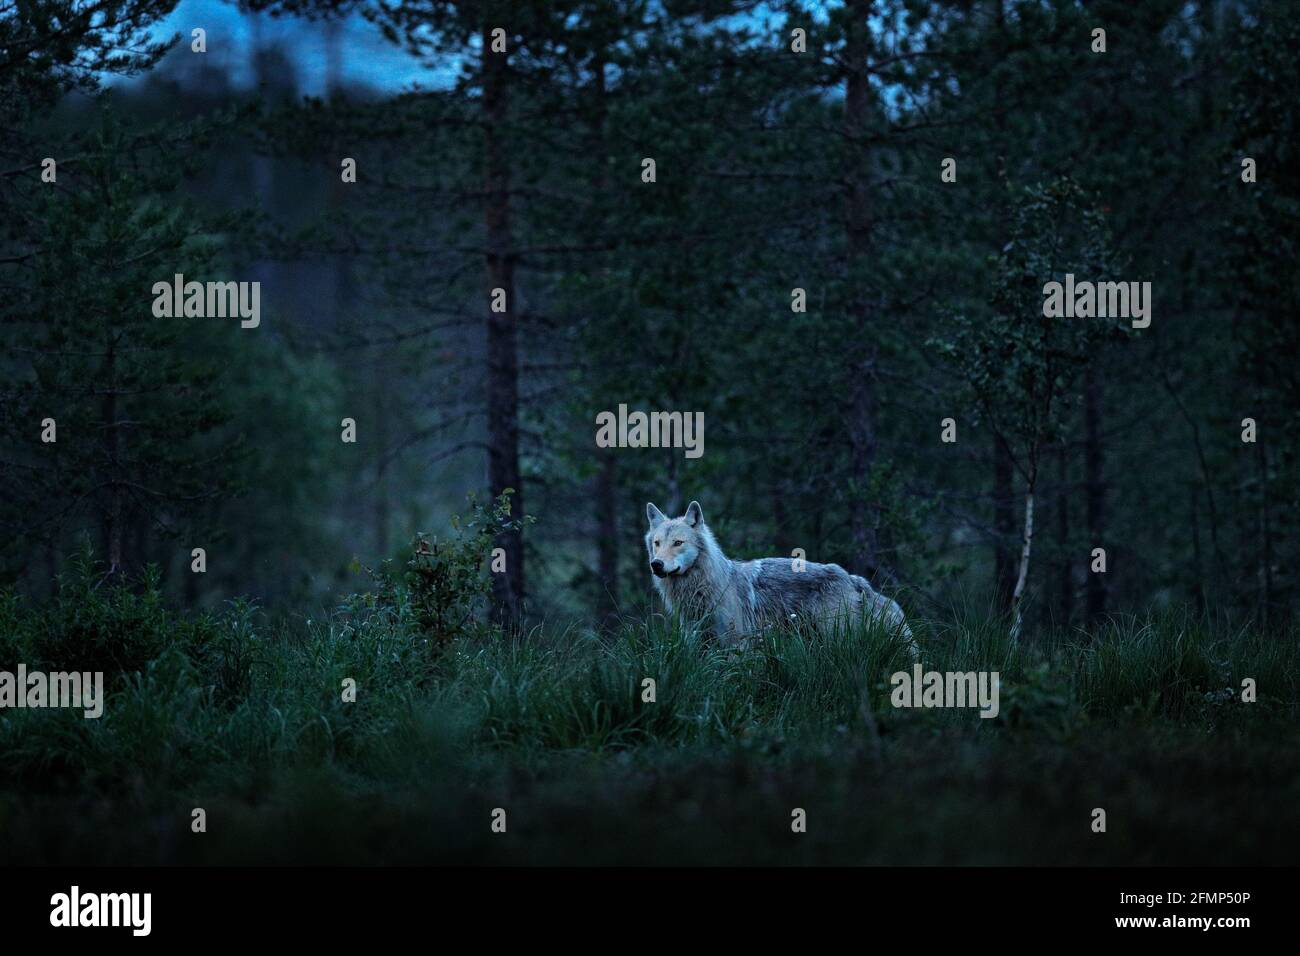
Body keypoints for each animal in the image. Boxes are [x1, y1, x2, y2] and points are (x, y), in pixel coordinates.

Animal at [645, 500, 916, 654]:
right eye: (657, 543)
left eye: (678, 543)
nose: (656, 565)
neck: (701, 589)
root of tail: (851, 577)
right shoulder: (695, 641)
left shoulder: (736, 643)